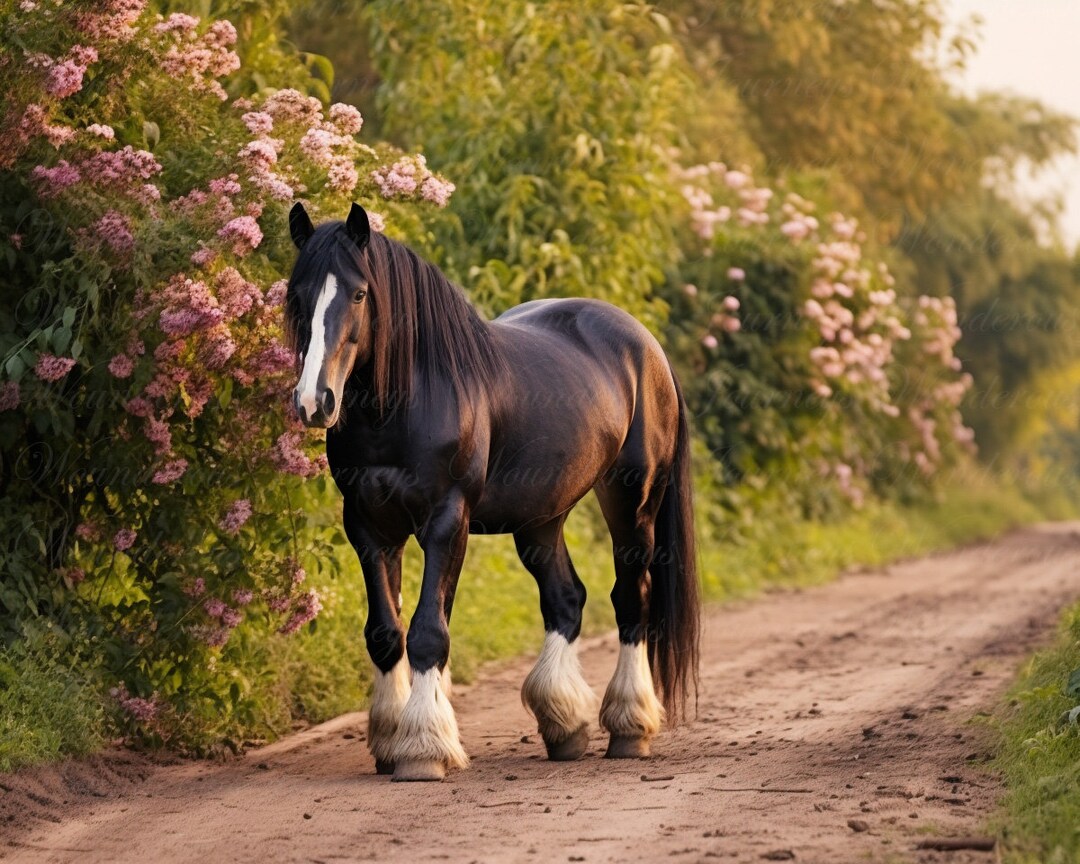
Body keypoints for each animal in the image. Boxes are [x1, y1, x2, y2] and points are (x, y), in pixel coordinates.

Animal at [284, 202, 700, 781]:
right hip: (541, 518)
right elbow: (386, 633)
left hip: (633, 500)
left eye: (360, 294)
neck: (405, 402)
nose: (314, 401)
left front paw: (423, 748)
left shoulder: (446, 520)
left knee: (630, 599)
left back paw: (628, 724)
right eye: (297, 294)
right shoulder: (368, 524)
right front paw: (391, 739)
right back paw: (564, 724)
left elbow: (428, 632)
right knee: (566, 600)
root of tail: (647, 345)